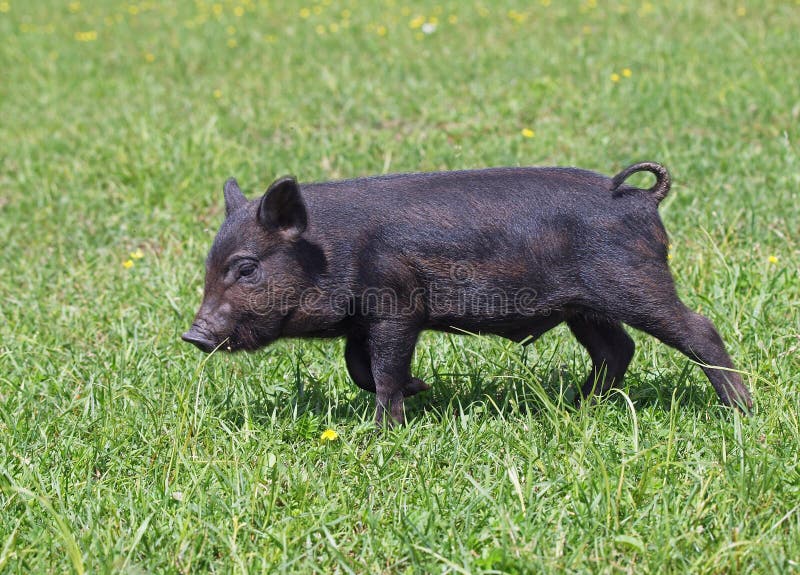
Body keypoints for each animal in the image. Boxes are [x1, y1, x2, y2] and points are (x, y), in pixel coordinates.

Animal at [182, 162, 753, 425]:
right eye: (210, 266)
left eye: (246, 268)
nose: (193, 334)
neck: (328, 249)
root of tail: (644, 199)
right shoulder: (363, 320)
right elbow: (358, 367)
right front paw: (423, 389)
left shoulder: (396, 304)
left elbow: (382, 370)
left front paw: (387, 427)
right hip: (584, 307)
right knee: (618, 349)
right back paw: (575, 406)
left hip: (634, 281)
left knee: (699, 328)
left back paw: (741, 411)